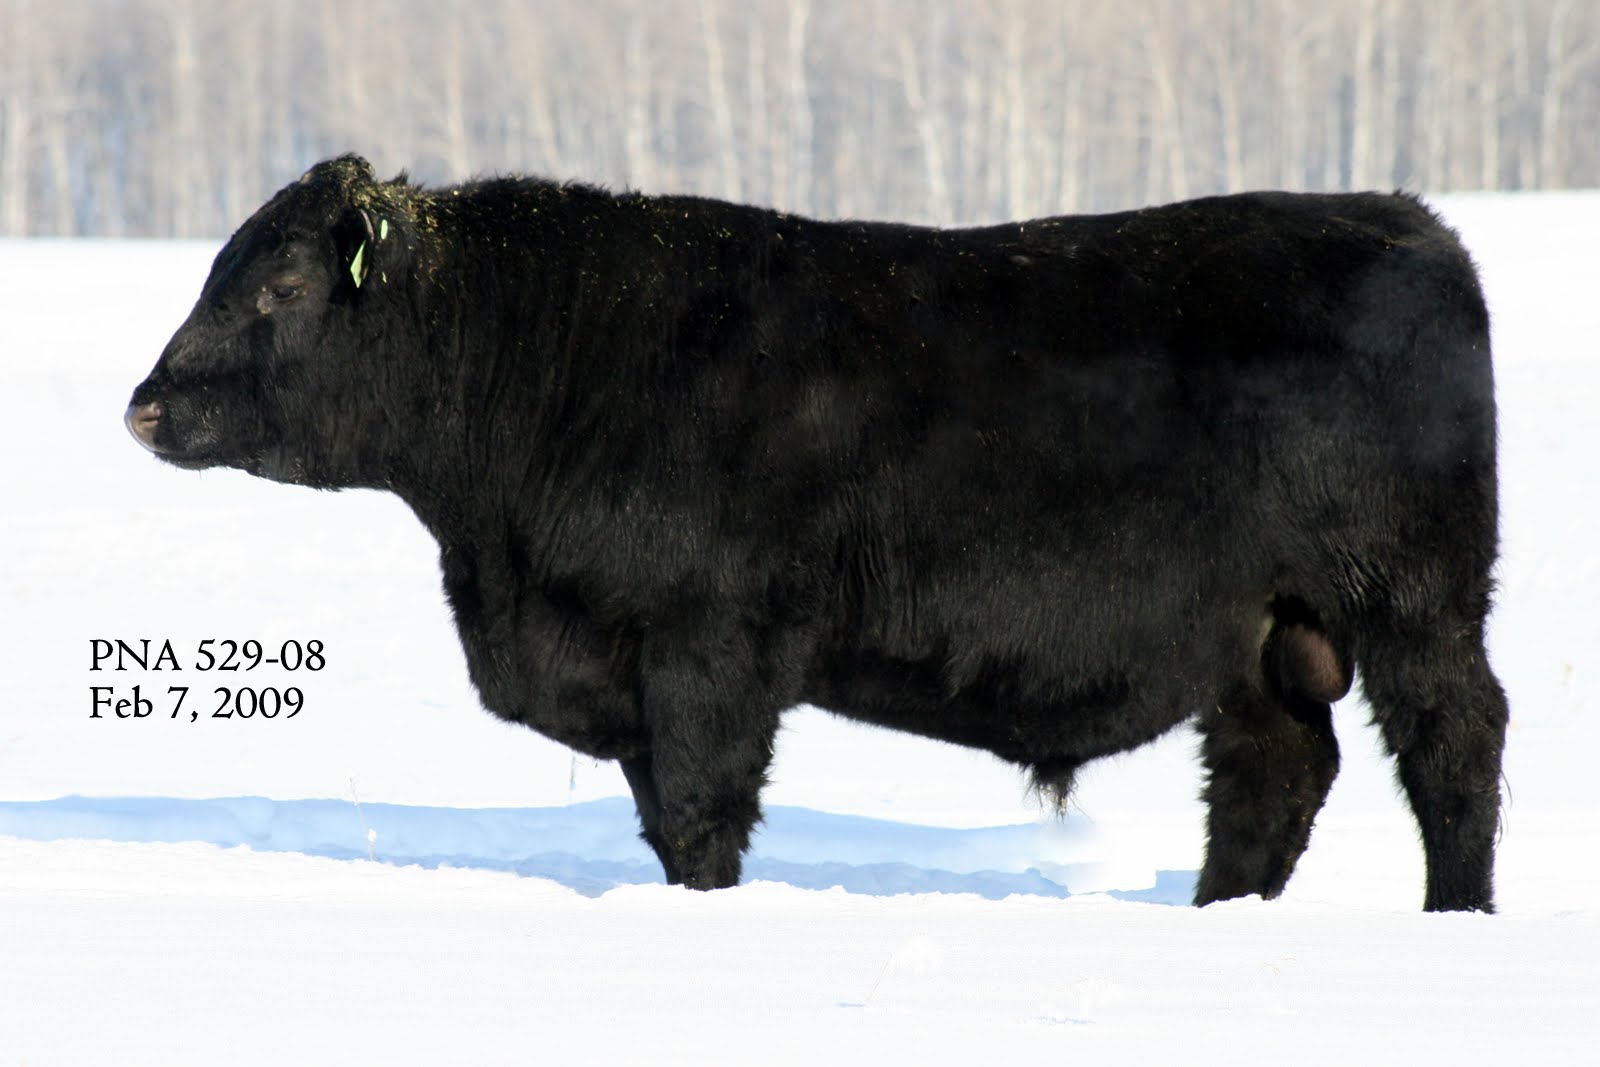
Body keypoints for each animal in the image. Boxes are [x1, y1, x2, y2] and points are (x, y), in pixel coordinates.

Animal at [127, 155, 1508, 911]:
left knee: (1454, 744)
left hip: (1415, 598)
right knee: (1275, 770)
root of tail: (1407, 221)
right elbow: (659, 811)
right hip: (1261, 633)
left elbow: (701, 810)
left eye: (281, 285)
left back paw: (1454, 913)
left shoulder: (707, 646)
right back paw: (1218, 913)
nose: (144, 404)